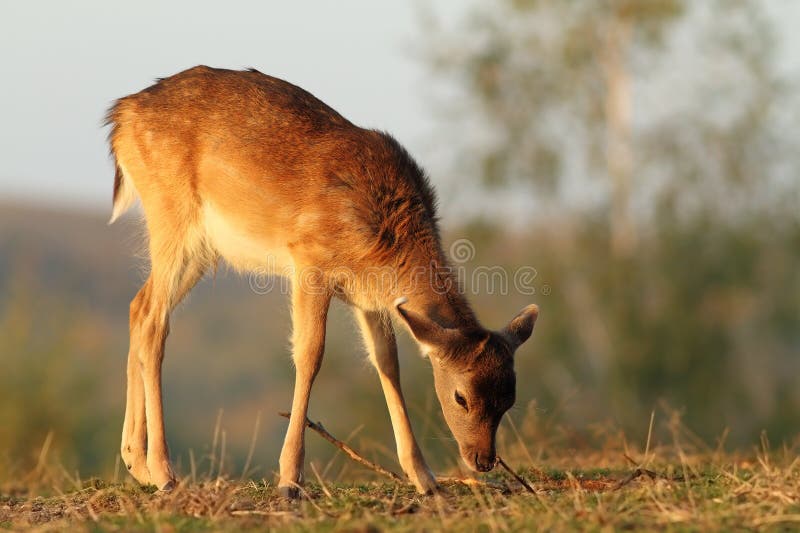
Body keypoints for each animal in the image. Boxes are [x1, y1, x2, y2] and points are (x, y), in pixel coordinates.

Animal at [105, 65, 539, 498]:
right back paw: (163, 471)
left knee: (138, 307)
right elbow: (310, 353)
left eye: (509, 398)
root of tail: (121, 116)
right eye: (460, 397)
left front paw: (425, 479)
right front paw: (289, 478)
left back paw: (136, 462)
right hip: (172, 215)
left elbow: (388, 362)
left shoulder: (371, 298)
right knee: (154, 320)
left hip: (201, 248)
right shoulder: (309, 261)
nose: (483, 460)